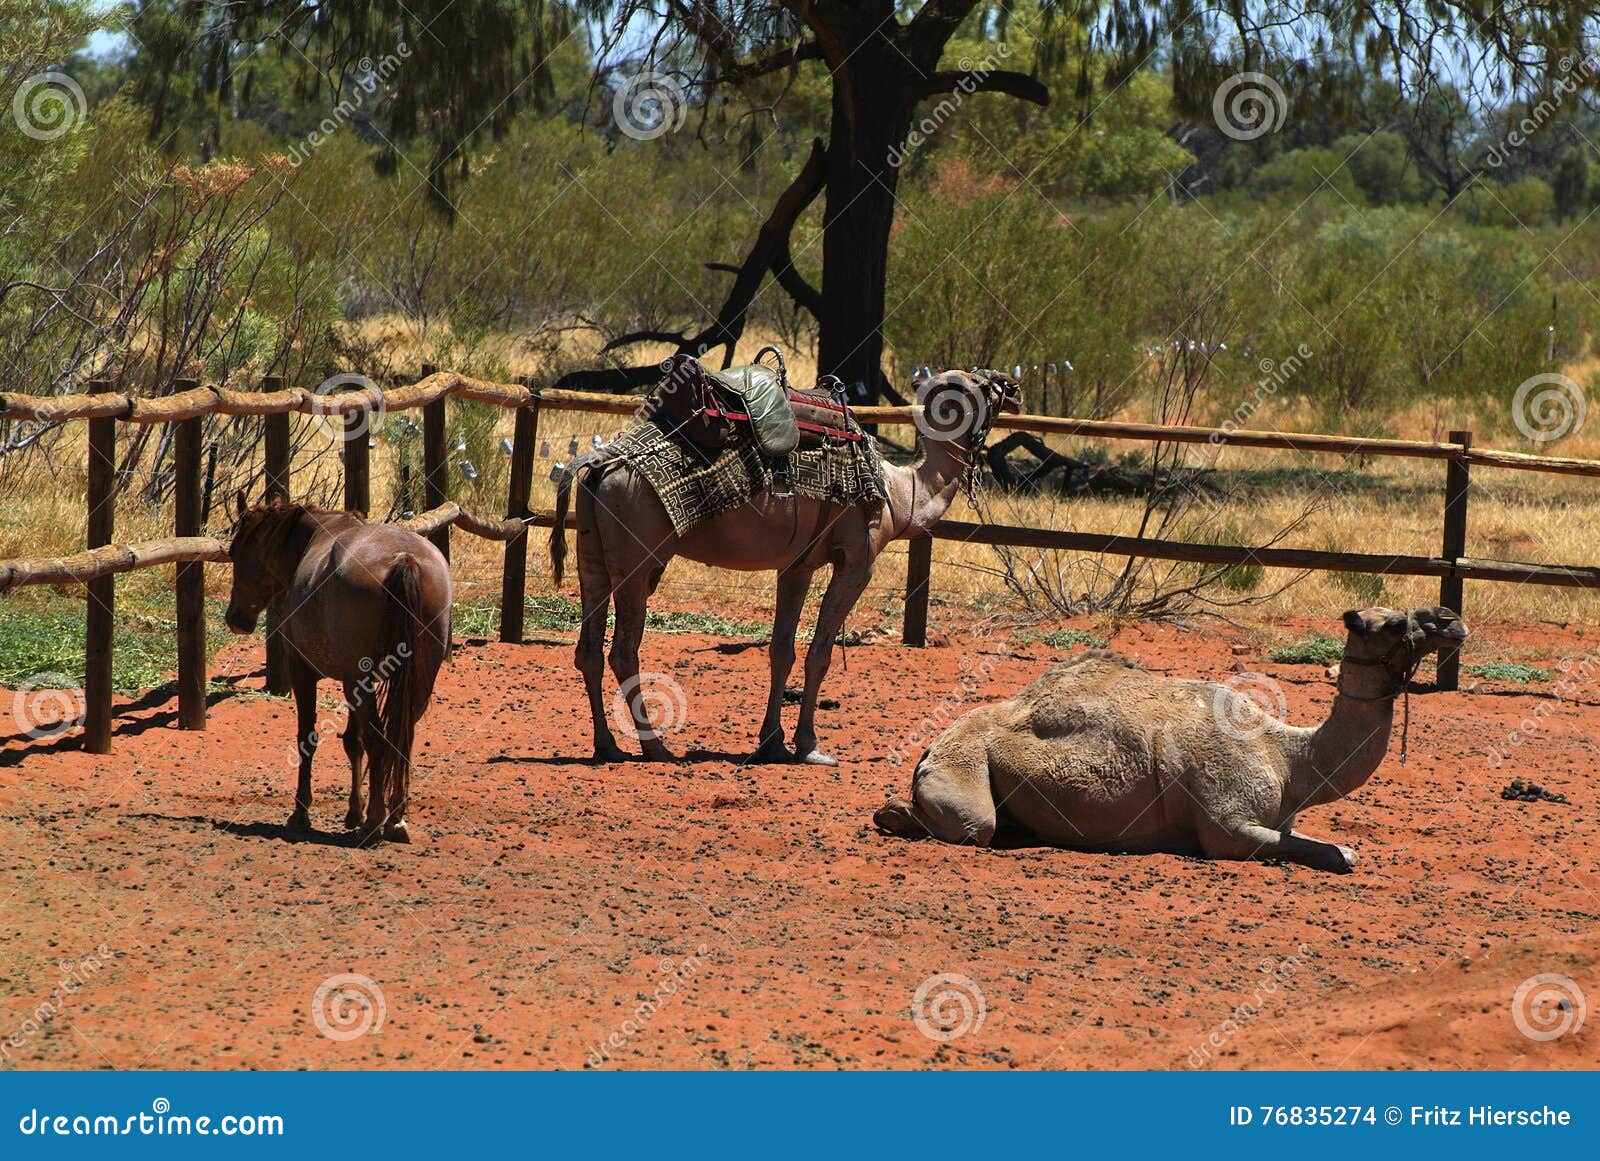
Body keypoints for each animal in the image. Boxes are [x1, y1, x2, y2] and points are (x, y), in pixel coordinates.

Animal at [551, 369, 1021, 765]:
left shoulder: (797, 566)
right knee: (624, 649)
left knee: (589, 647)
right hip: (638, 555)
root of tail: (595, 465)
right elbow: (819, 655)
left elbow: (782, 650)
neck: (899, 494)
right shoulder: (858, 561)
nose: (1012, 388)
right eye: (978, 383)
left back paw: (606, 745)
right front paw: (811, 747)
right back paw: (656, 748)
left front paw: (772, 742)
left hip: (592, 554)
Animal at [874, 605, 1468, 872]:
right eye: (1392, 624)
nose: (1450, 620)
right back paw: (895, 813)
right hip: (966, 771)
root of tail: (931, 745)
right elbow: (1328, 852)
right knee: (974, 825)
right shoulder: (1228, 827)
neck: (1288, 760)